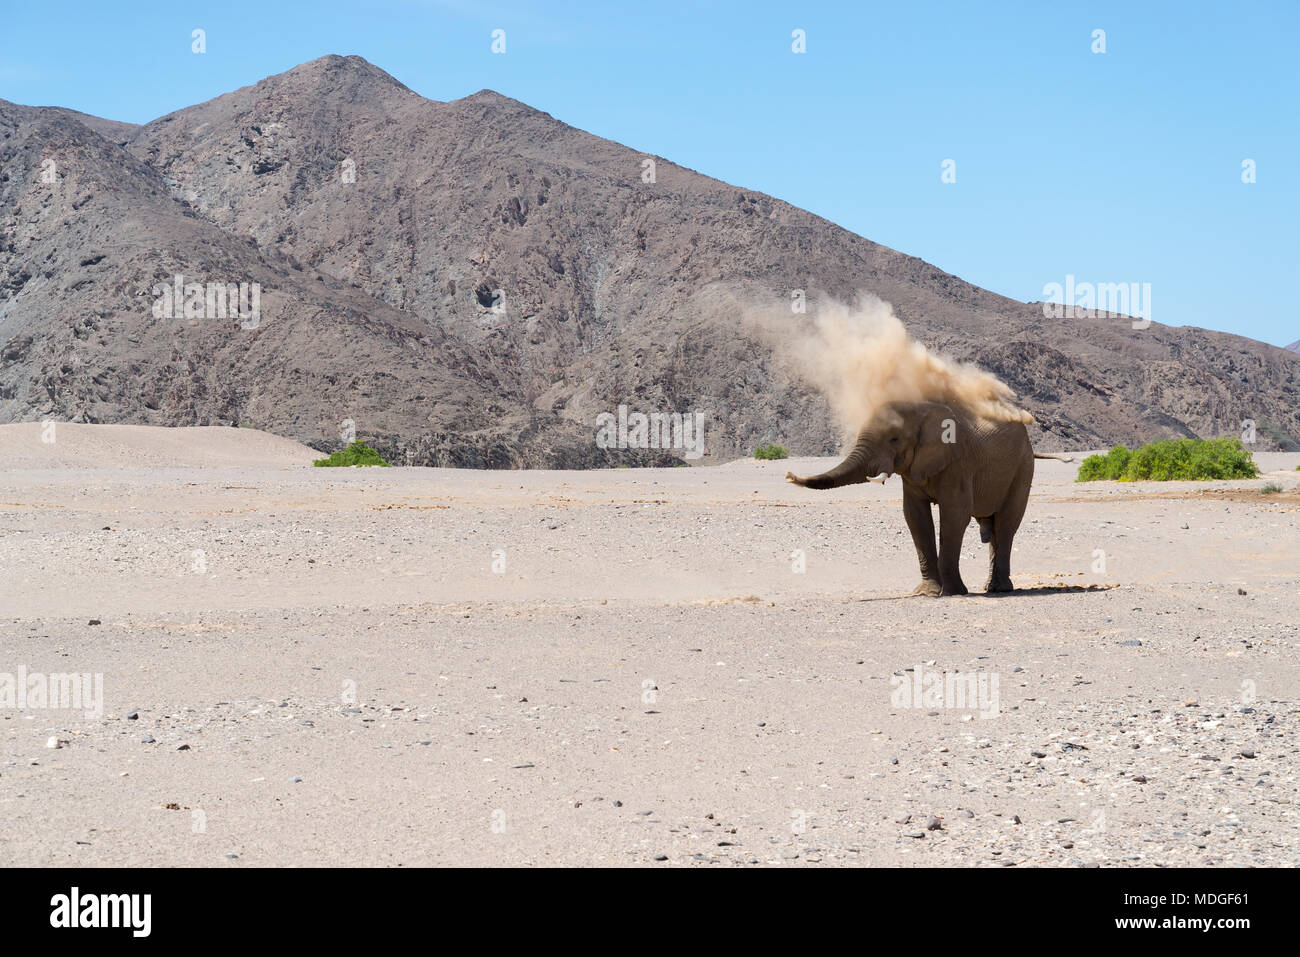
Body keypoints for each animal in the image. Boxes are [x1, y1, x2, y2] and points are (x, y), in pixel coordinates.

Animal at [785, 400, 1047, 596]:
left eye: (894, 439)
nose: (788, 476)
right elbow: (915, 516)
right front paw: (927, 593)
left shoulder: (957, 462)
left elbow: (955, 515)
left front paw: (952, 593)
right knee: (993, 529)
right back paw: (990, 587)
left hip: (1023, 467)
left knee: (1005, 525)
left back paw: (999, 589)